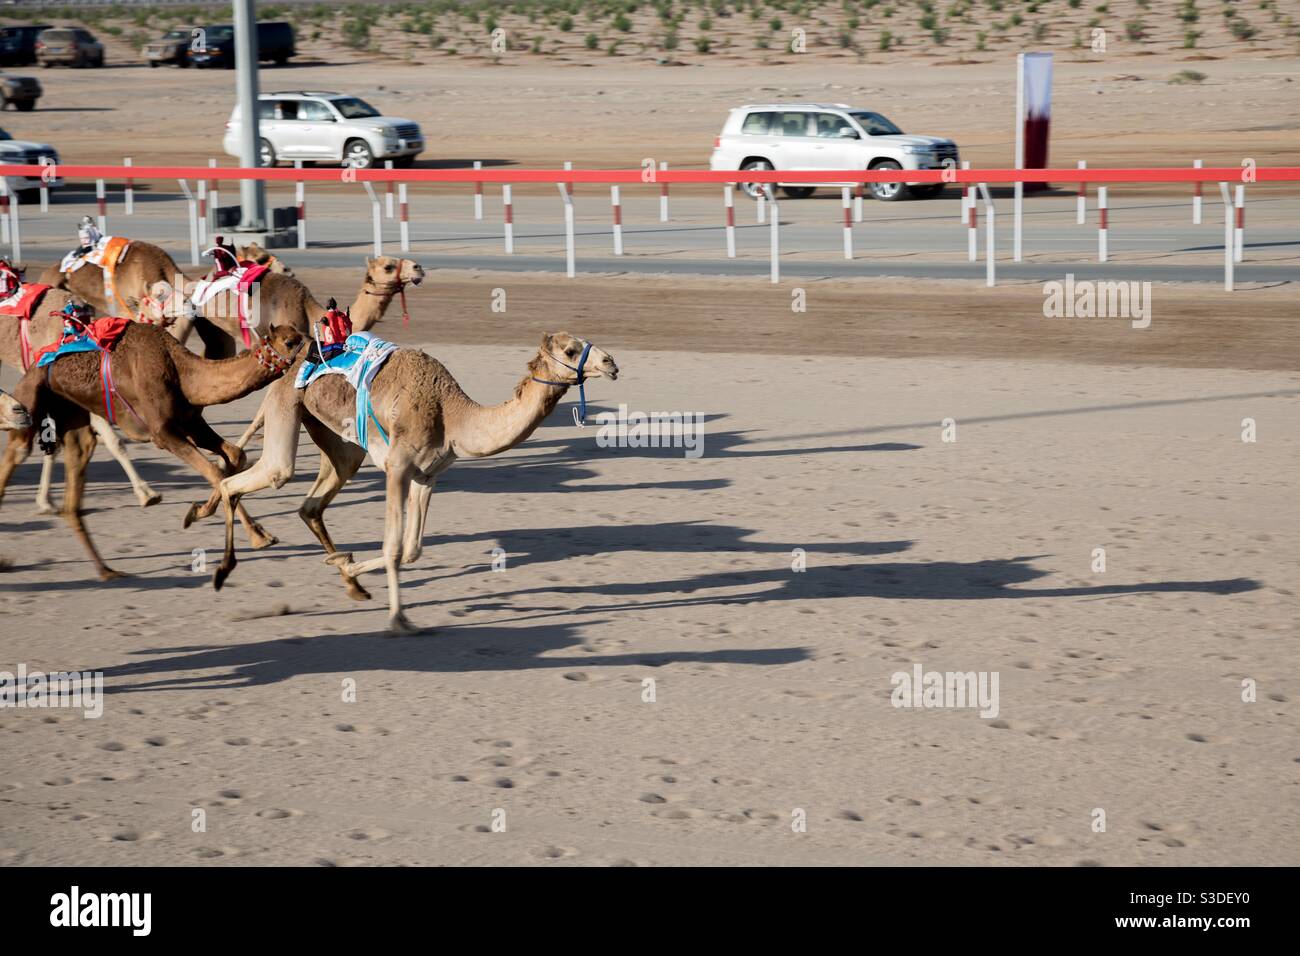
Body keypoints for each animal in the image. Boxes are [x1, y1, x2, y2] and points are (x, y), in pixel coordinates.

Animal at [0, 322, 306, 580]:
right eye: (291, 341)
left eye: (300, 334)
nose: (311, 350)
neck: (182, 371)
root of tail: (34, 365)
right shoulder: (163, 432)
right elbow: (214, 471)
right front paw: (255, 535)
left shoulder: (191, 422)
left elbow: (233, 457)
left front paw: (201, 512)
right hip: (27, 404)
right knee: (17, 452)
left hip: (74, 415)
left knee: (76, 472)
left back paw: (107, 571)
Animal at [212, 332, 619, 632]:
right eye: (570, 349)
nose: (611, 363)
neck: (452, 416)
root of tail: (290, 362)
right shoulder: (398, 467)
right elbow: (394, 549)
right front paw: (399, 619)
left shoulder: (427, 476)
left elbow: (412, 550)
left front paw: (348, 566)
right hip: (286, 405)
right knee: (260, 476)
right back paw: (222, 570)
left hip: (335, 435)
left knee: (315, 496)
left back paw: (348, 579)